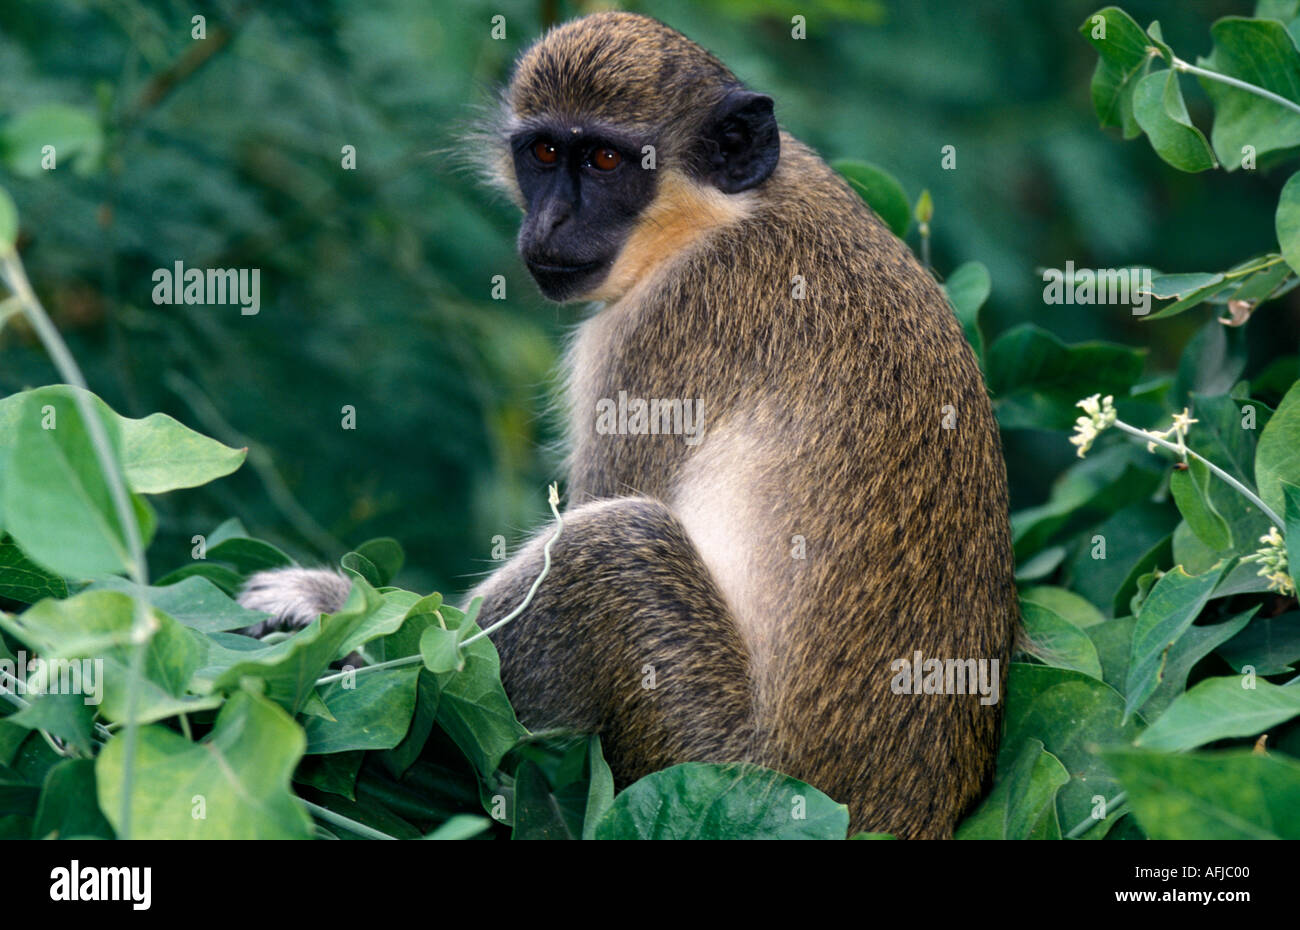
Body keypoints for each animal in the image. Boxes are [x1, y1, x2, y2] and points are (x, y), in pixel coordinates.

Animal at [239, 11, 1017, 839]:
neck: (725, 213)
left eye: (608, 159)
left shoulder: (658, 333)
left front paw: (333, 608)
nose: (549, 220)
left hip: (709, 756)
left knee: (610, 541)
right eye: (546, 152)